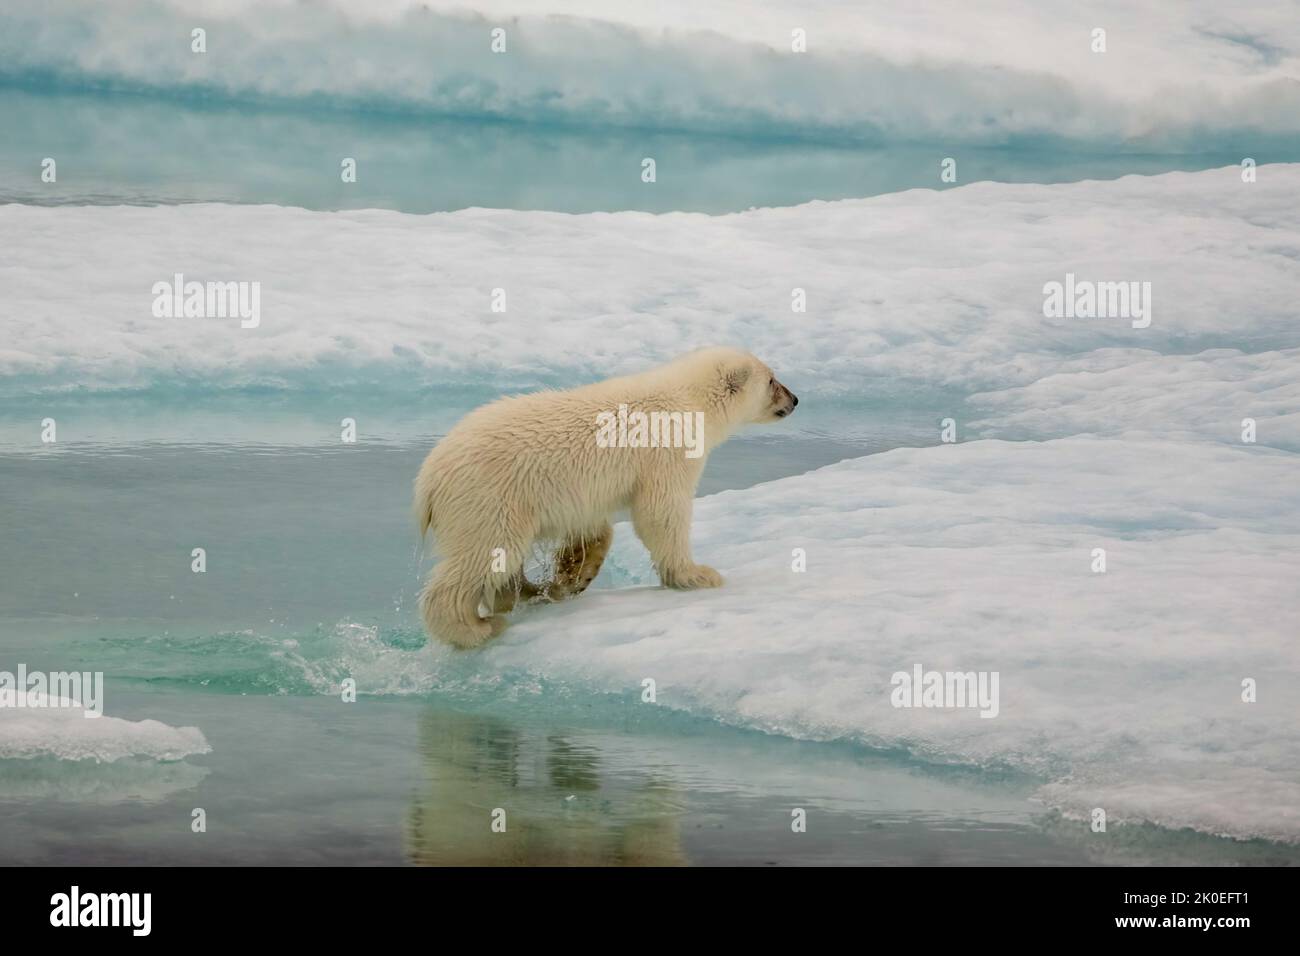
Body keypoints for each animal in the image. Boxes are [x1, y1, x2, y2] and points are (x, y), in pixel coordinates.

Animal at [414, 347, 799, 647]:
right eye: (772, 380)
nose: (794, 400)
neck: (688, 401)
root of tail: (427, 480)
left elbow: (592, 527)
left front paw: (575, 573)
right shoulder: (665, 453)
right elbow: (662, 512)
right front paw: (698, 574)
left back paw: (527, 592)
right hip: (489, 496)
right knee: (486, 552)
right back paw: (475, 628)